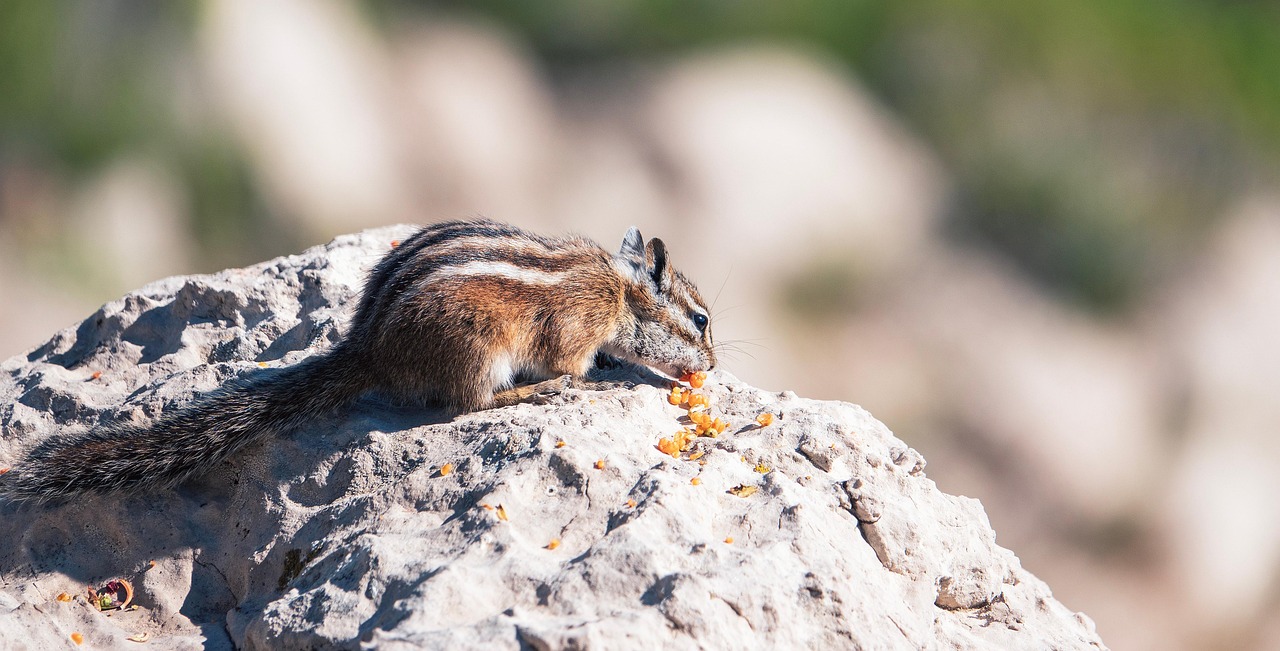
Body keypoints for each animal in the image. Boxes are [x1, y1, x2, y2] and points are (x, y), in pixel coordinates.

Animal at [0, 219, 717, 504]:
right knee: (466, 403)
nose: (708, 367)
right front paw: (586, 379)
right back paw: (528, 394)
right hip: (477, 350)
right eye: (703, 323)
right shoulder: (571, 328)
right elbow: (569, 360)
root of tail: (369, 348)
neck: (617, 291)